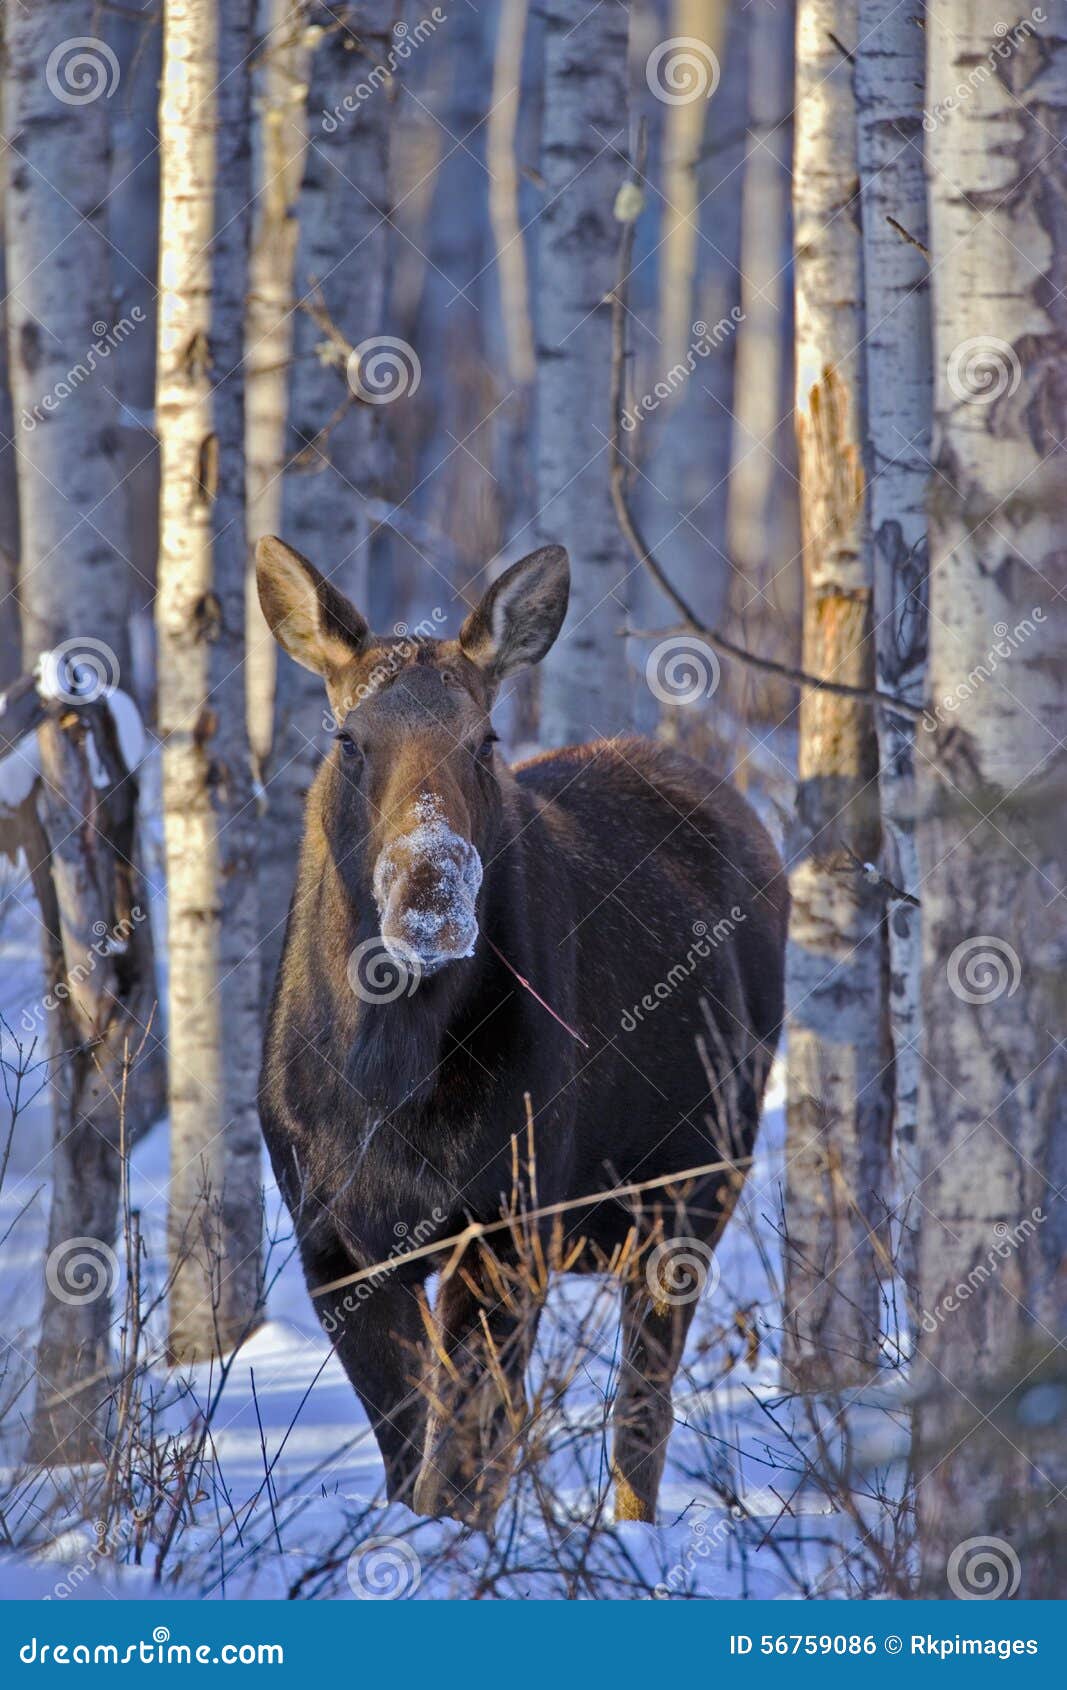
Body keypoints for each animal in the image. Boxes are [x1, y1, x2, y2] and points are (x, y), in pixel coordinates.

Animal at [255, 535, 788, 1528]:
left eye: (485, 740)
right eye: (348, 739)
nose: (430, 897)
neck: (383, 1077)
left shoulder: (507, 1222)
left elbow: (462, 1466)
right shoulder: (332, 1243)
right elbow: (413, 1456)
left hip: (693, 1192)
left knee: (641, 1414)